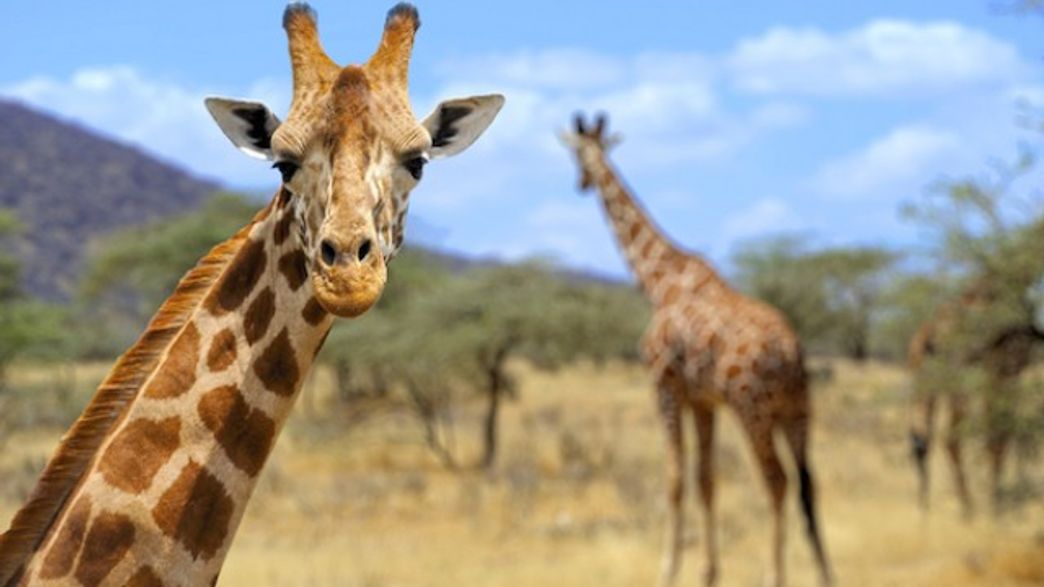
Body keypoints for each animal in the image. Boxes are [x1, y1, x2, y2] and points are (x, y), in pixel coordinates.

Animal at [561, 114, 831, 587]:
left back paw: (773, 577)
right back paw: (825, 576)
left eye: (577, 153)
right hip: (796, 410)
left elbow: (674, 479)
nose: (581, 182)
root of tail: (791, 354)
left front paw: (666, 571)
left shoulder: (665, 386)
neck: (659, 282)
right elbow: (706, 479)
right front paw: (708, 572)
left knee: (777, 481)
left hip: (752, 408)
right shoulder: (703, 400)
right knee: (807, 484)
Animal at [908, 283, 1042, 517]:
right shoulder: (1005, 367)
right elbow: (998, 434)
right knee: (951, 438)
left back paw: (925, 509)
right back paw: (969, 509)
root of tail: (930, 331)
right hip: (958, 374)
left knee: (921, 438)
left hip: (925, 374)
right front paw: (996, 505)